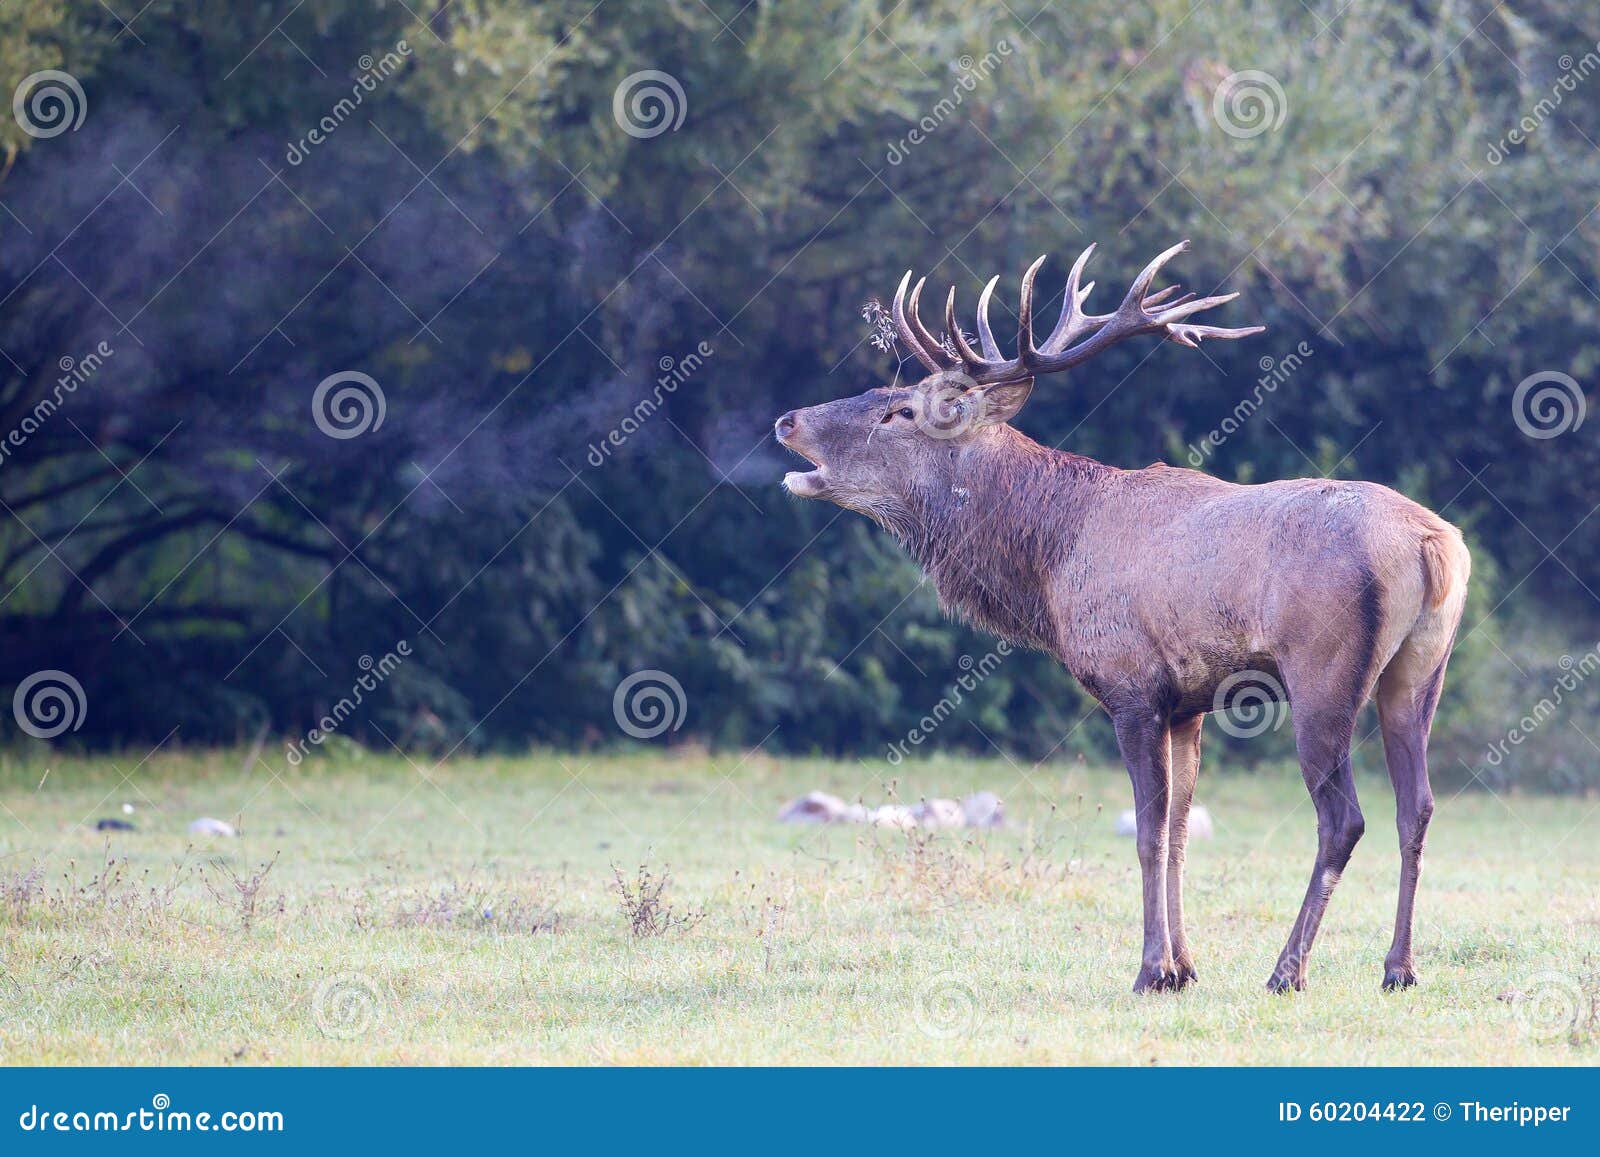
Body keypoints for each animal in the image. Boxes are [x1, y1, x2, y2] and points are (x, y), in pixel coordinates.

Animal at [774, 240, 1470, 995]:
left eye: (899, 410)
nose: (787, 420)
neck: (1052, 560)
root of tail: (1434, 546)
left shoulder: (1132, 685)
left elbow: (1147, 830)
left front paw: (1149, 969)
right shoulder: (1189, 704)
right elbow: (1181, 831)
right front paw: (1185, 966)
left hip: (1324, 671)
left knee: (1344, 818)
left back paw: (1287, 970)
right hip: (1418, 672)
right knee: (1417, 805)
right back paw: (1399, 968)